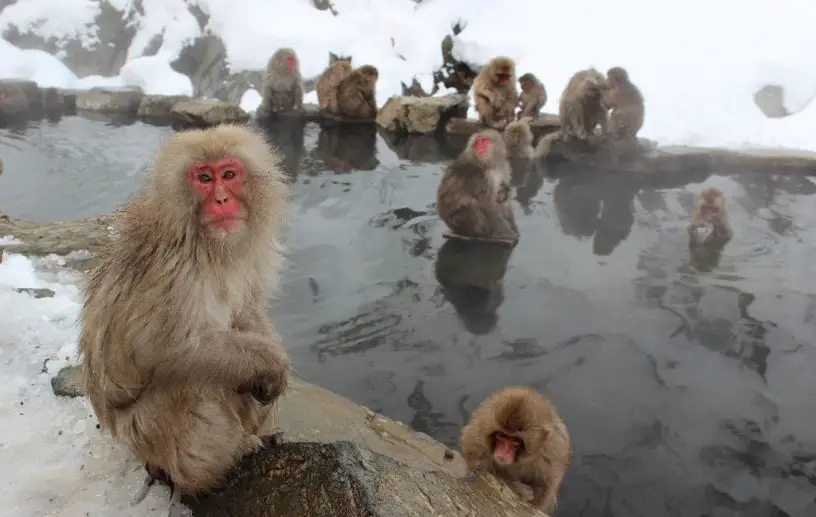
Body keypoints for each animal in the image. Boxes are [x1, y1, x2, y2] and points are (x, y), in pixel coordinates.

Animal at [78, 124, 291, 497]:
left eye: (229, 174)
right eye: (204, 178)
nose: (221, 200)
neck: (207, 244)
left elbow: (247, 313)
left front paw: (270, 359)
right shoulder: (175, 271)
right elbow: (168, 349)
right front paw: (272, 363)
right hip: (146, 434)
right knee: (193, 382)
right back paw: (219, 463)